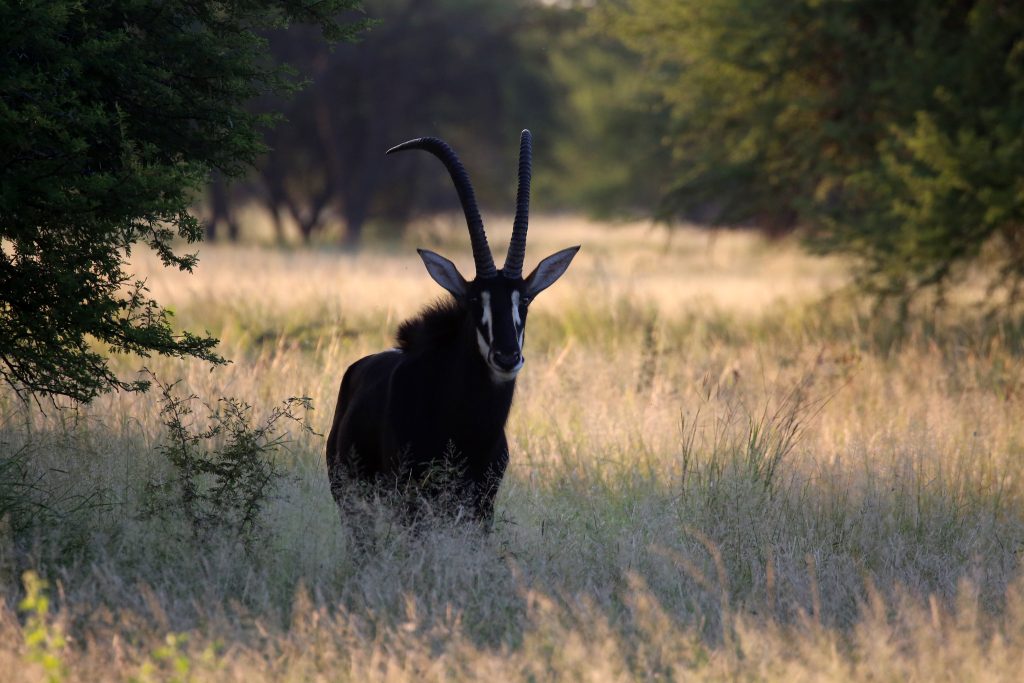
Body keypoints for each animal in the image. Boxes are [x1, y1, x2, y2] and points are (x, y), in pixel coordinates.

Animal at [326, 130, 579, 529]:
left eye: (523, 301)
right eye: (474, 301)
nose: (507, 357)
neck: (466, 428)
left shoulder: (482, 506)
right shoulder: (411, 502)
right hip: (355, 507)